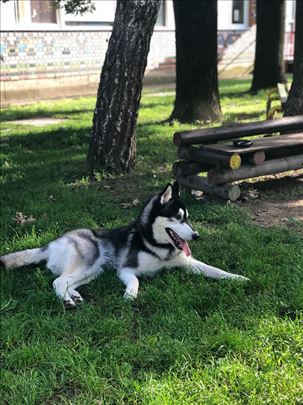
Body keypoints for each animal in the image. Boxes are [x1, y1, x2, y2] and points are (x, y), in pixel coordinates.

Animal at [0, 181, 249, 308]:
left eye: (187, 218)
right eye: (177, 218)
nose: (196, 235)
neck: (155, 243)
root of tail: (52, 243)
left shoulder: (188, 263)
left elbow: (216, 270)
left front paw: (239, 278)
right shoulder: (126, 269)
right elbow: (136, 280)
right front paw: (131, 295)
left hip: (95, 270)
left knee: (67, 281)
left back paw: (75, 296)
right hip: (89, 260)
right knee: (58, 282)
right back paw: (68, 301)